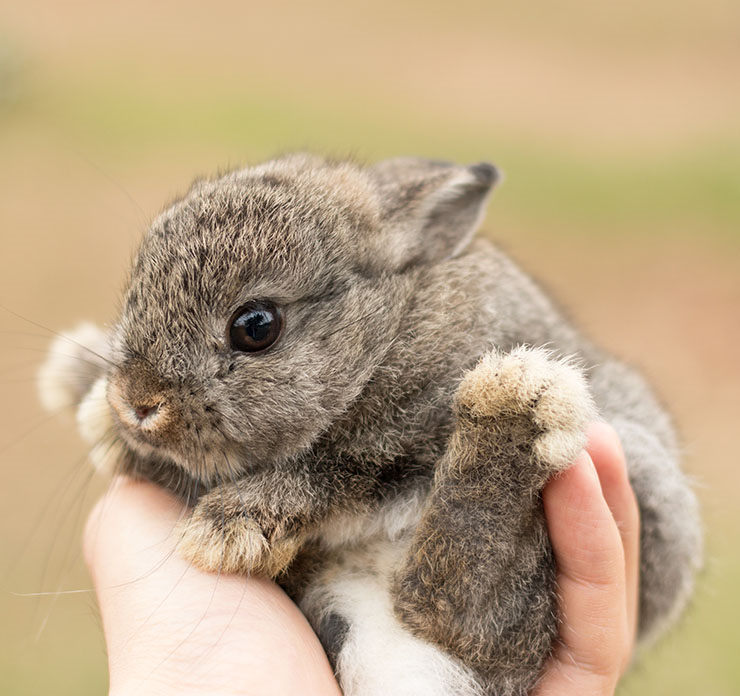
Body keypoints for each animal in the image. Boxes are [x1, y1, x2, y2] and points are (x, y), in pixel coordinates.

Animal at [39, 153, 702, 696]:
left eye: (256, 325)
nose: (136, 402)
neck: (385, 327)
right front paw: (84, 387)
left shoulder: (402, 436)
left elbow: (331, 473)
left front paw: (227, 527)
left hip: (637, 490)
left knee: (462, 612)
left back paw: (516, 405)